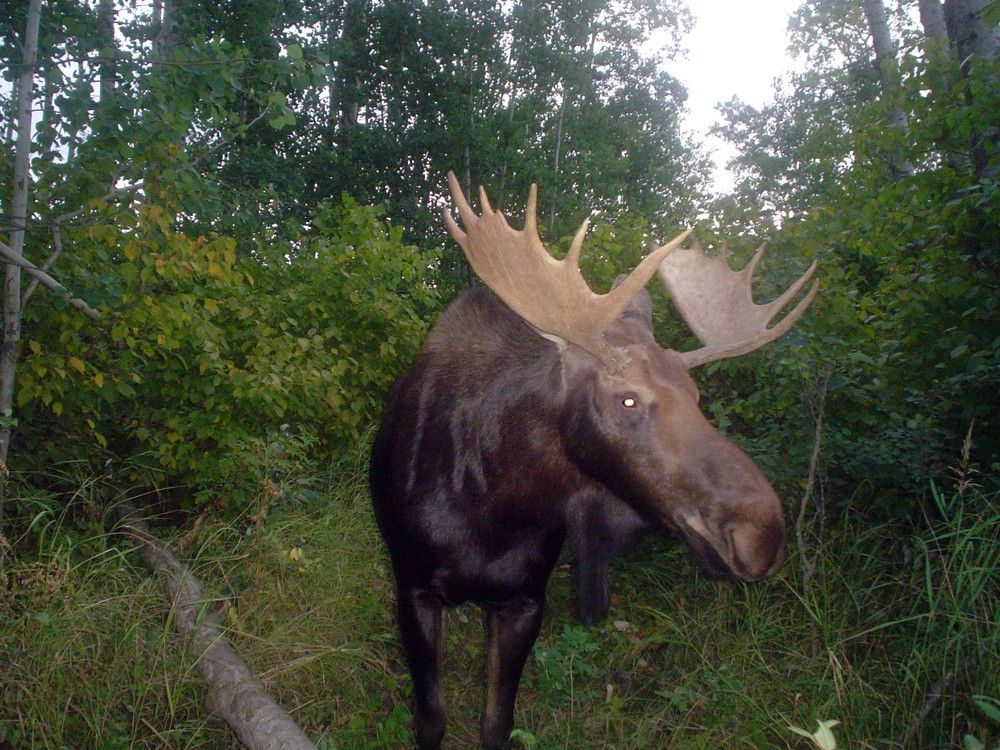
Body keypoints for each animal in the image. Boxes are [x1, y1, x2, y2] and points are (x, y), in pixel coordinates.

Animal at [369, 172, 818, 749]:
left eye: (697, 394)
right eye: (626, 399)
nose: (763, 533)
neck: (486, 510)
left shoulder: (525, 599)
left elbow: (497, 723)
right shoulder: (413, 587)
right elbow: (430, 720)